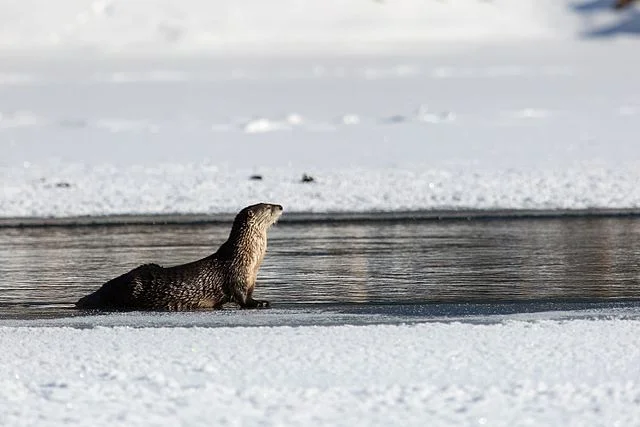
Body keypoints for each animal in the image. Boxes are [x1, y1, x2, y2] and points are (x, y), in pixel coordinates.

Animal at [76, 203, 283, 311]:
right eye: (267, 207)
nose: (280, 206)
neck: (247, 258)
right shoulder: (235, 276)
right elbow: (242, 298)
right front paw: (260, 303)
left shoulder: (250, 281)